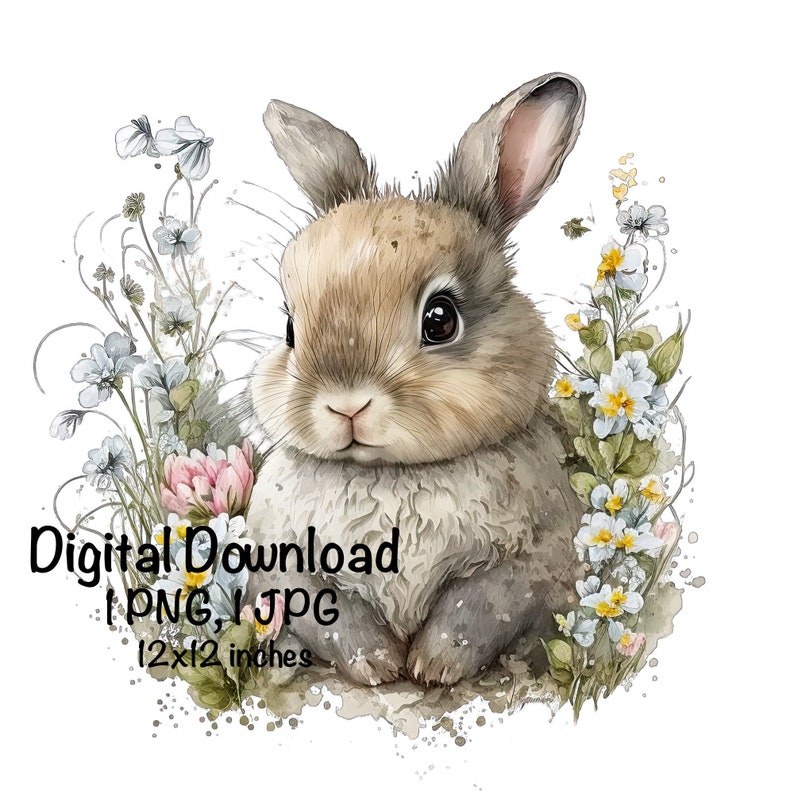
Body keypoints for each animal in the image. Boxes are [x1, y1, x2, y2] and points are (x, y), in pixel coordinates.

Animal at [245, 72, 586, 688]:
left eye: (440, 318)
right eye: (289, 327)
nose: (346, 405)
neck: (393, 474)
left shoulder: (536, 561)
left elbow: (480, 603)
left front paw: (434, 666)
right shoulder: (283, 564)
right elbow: (331, 610)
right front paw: (379, 666)